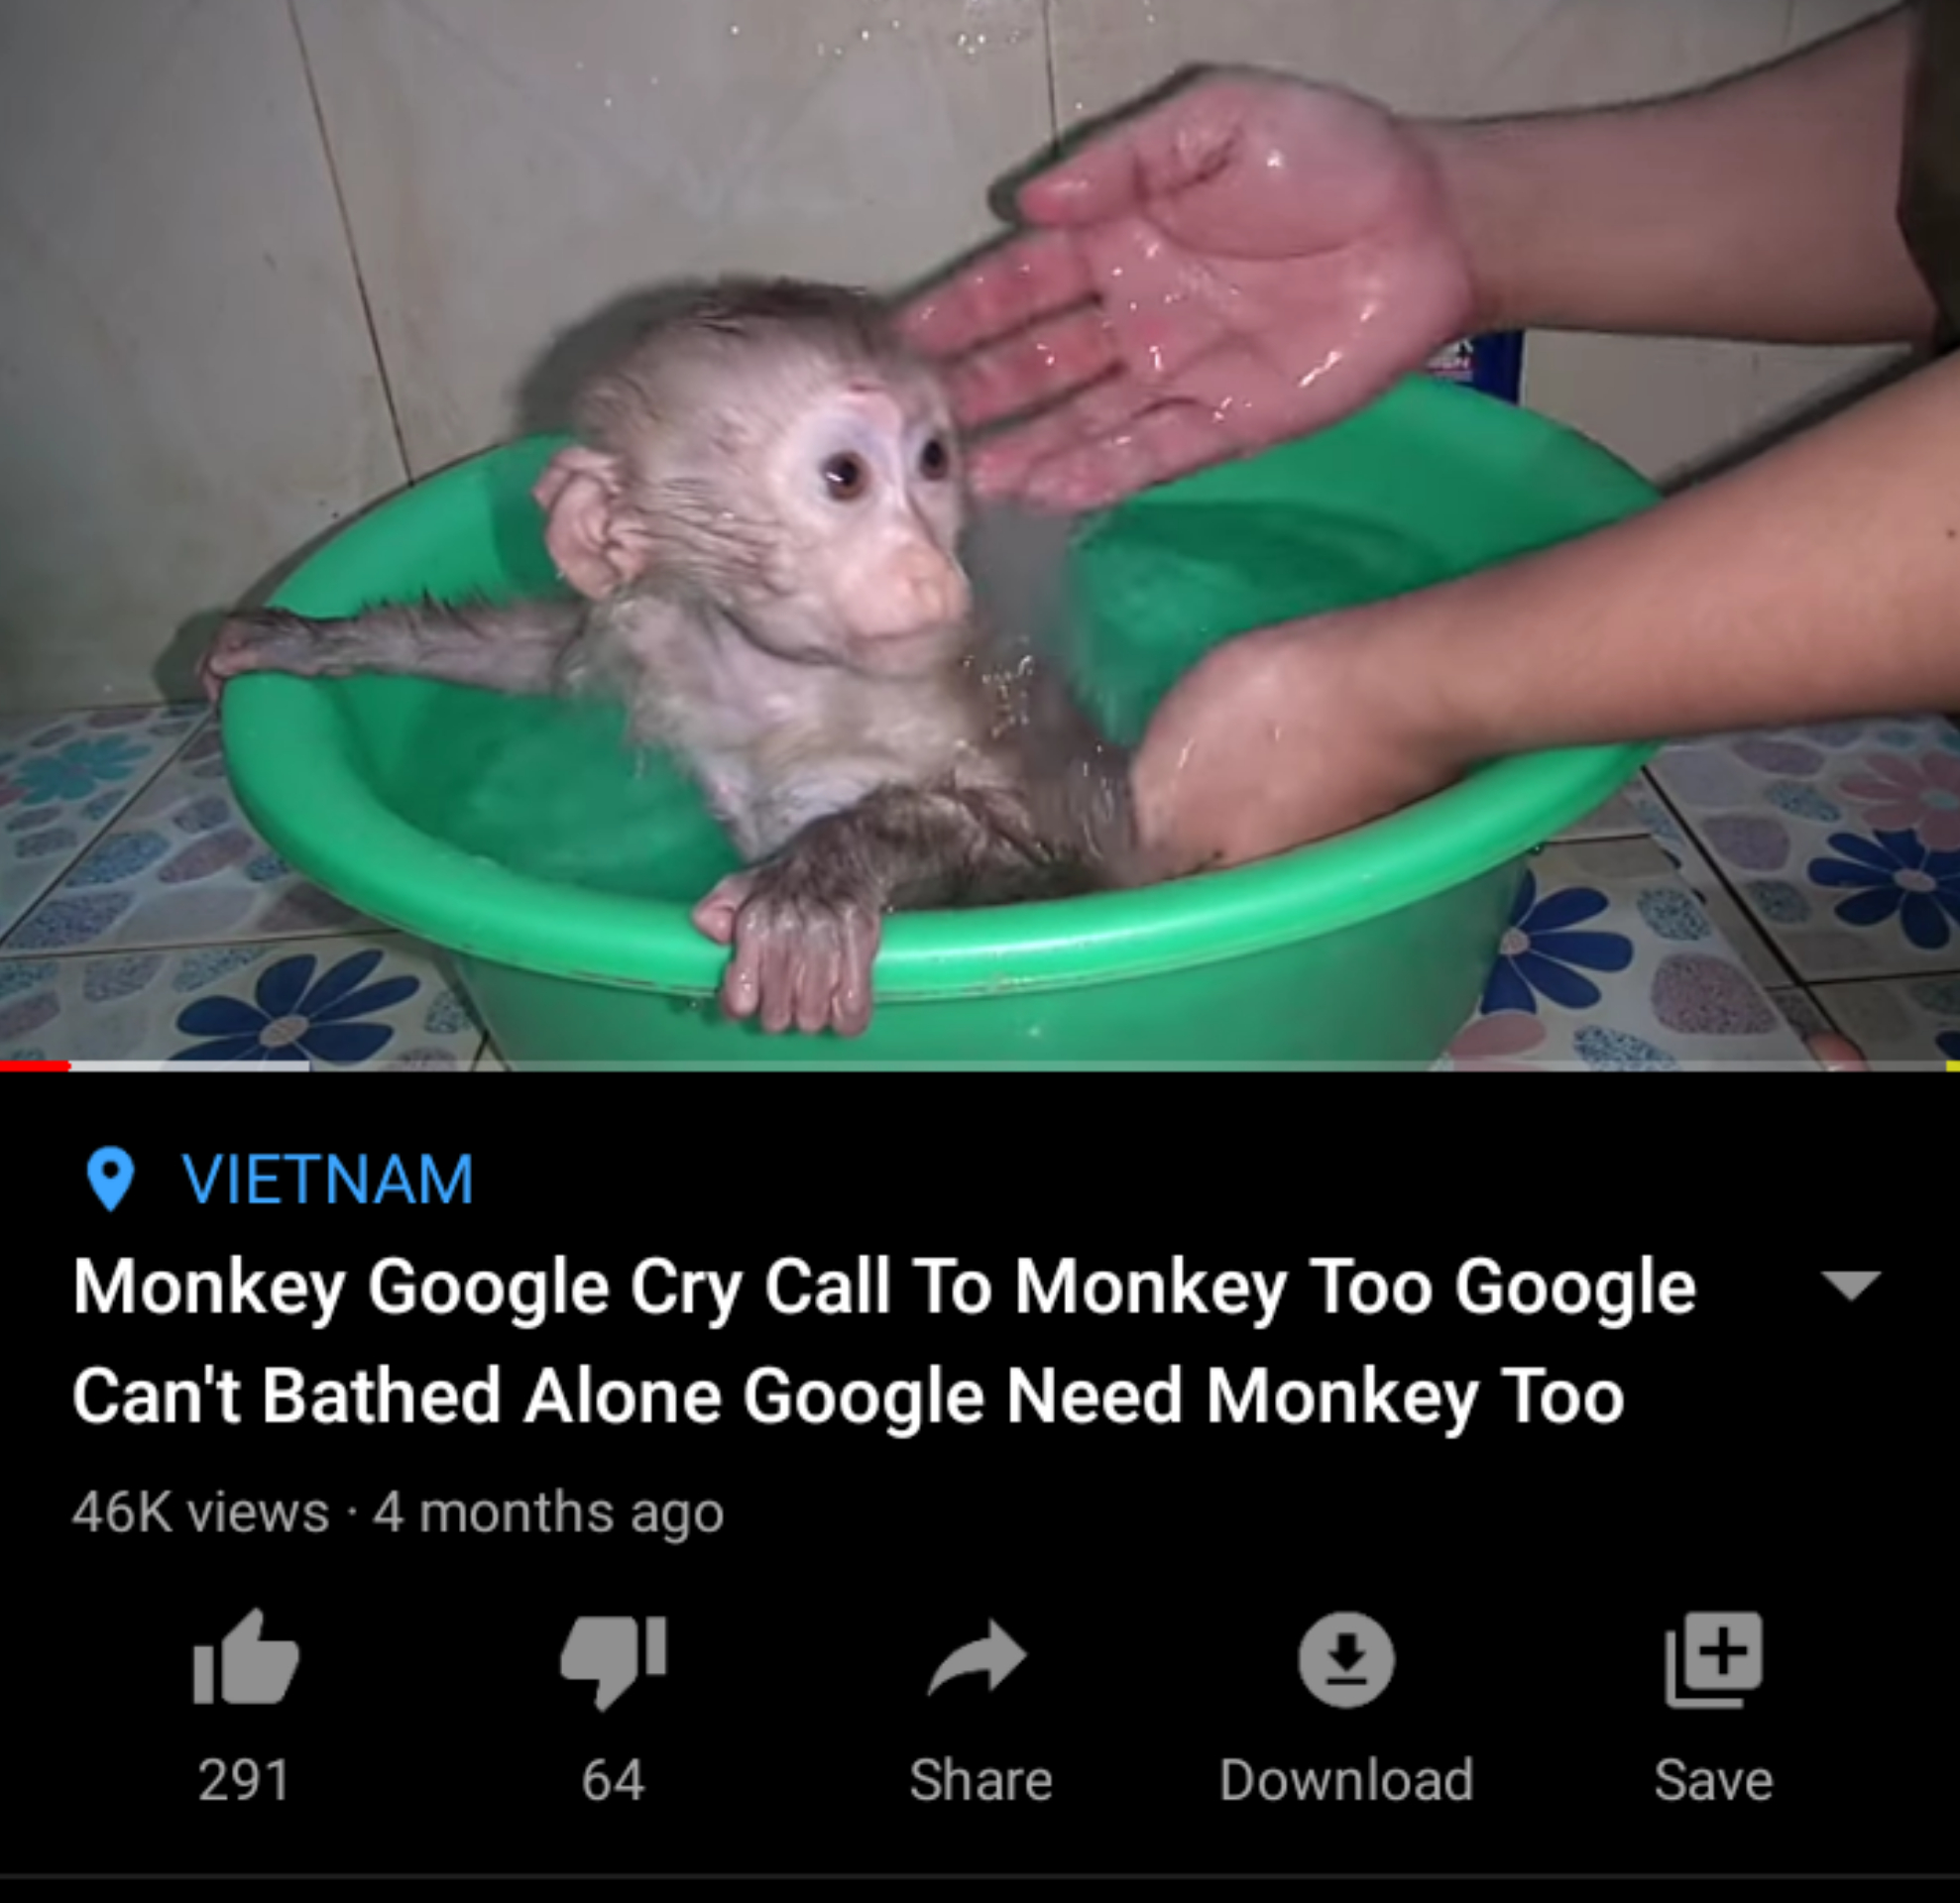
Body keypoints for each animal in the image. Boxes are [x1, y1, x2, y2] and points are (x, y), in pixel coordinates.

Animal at [200, 278, 1139, 1040]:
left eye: (933, 460)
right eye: (844, 475)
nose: (927, 566)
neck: (780, 687)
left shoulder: (944, 700)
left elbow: (1039, 848)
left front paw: (823, 876)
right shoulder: (652, 631)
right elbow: (548, 652)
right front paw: (318, 639)